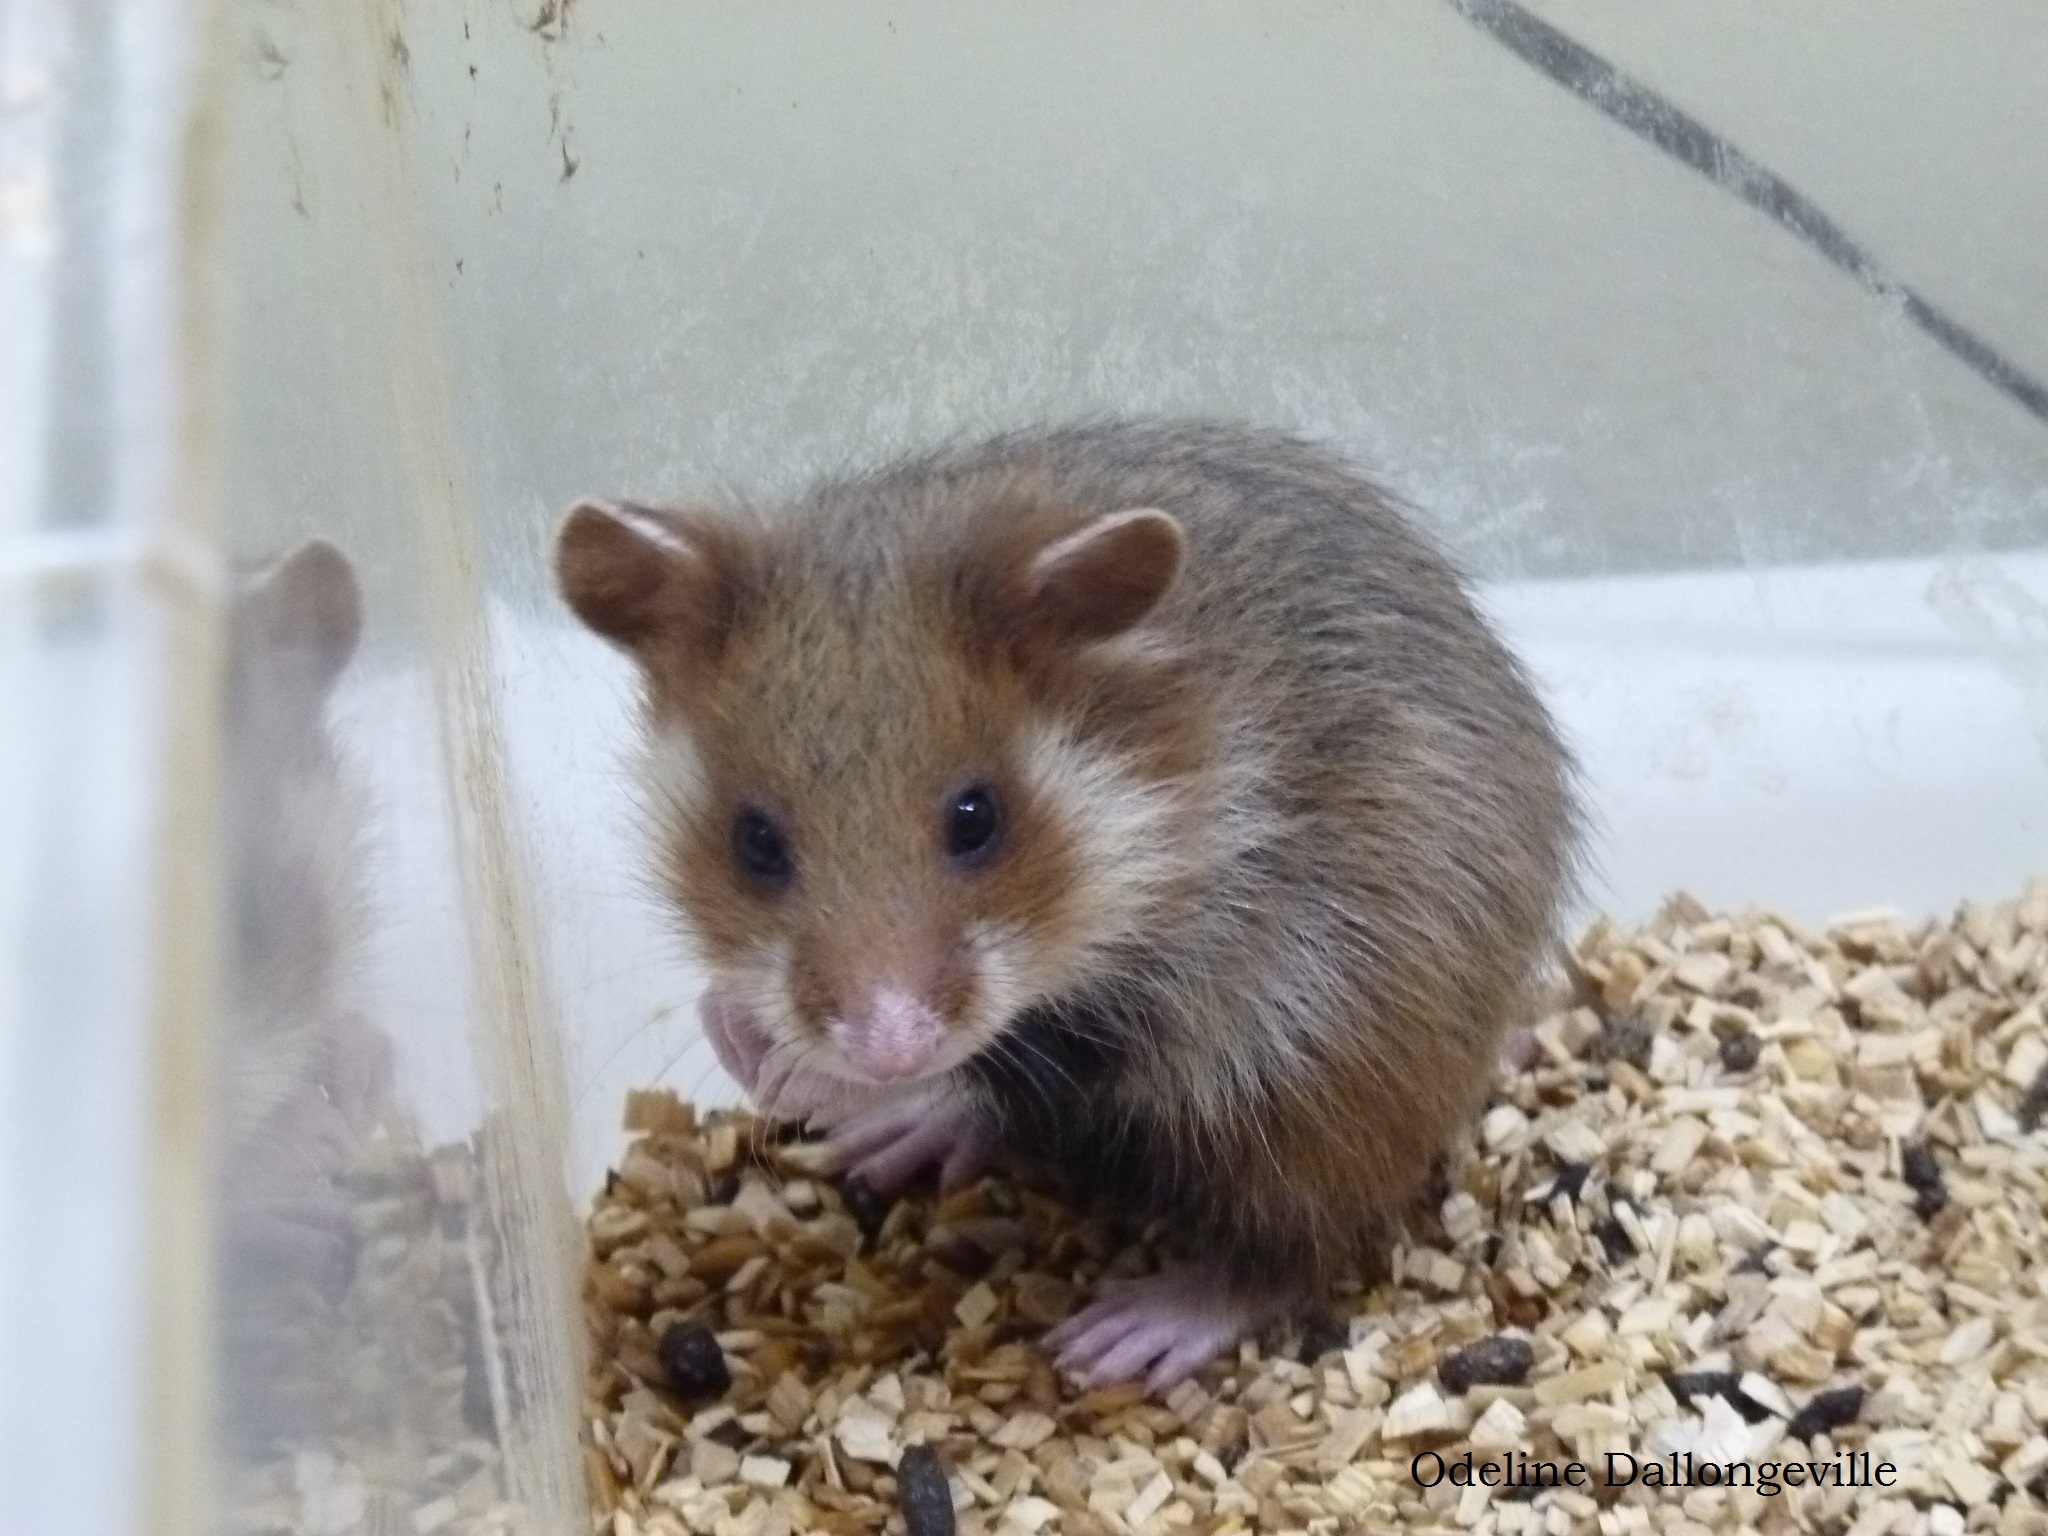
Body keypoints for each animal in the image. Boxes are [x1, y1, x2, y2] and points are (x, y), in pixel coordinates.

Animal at [553, 419, 1581, 1393]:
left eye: (977, 817)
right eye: (755, 841)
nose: (889, 1047)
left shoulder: (1188, 990)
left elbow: (1017, 1061)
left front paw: (784, 1063)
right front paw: (746, 1027)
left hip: (1330, 1095)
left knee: (1292, 1250)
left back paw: (1125, 1336)